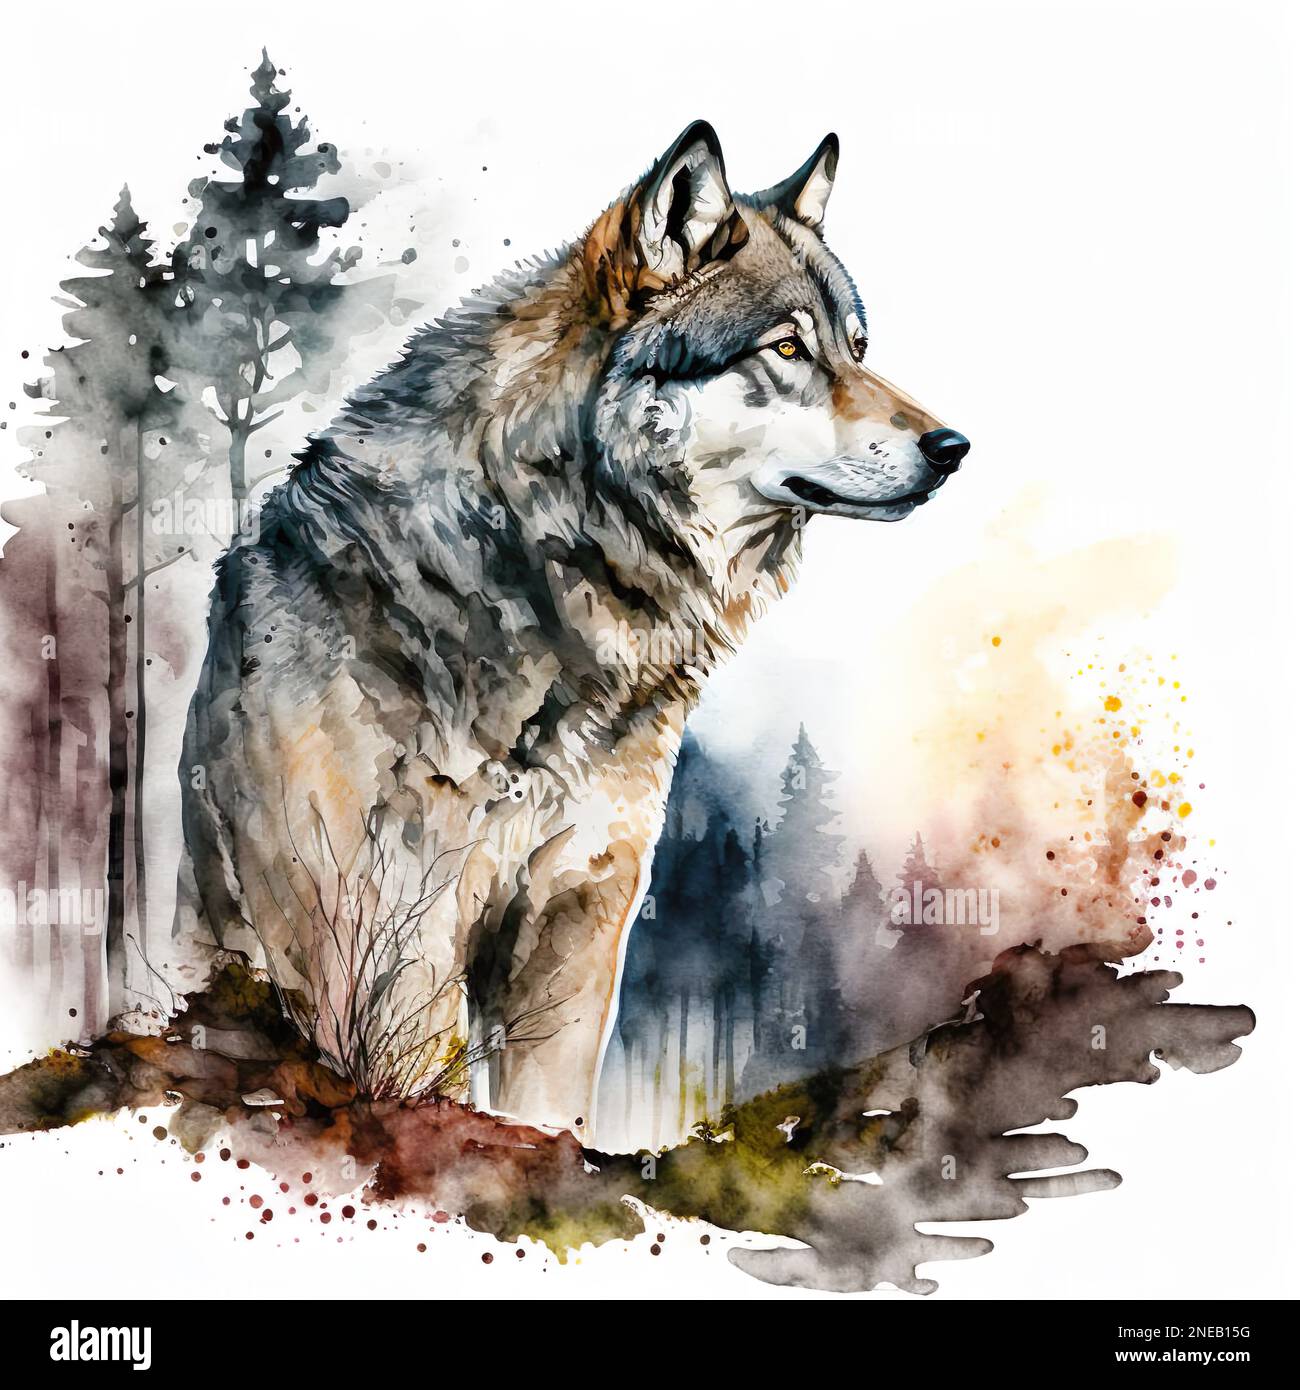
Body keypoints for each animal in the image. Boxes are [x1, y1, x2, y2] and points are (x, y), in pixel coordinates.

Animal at [177, 121, 970, 1136]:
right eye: (788, 347)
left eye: (859, 347)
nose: (952, 448)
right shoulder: (377, 942)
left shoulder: (578, 920)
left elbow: (548, 1116)